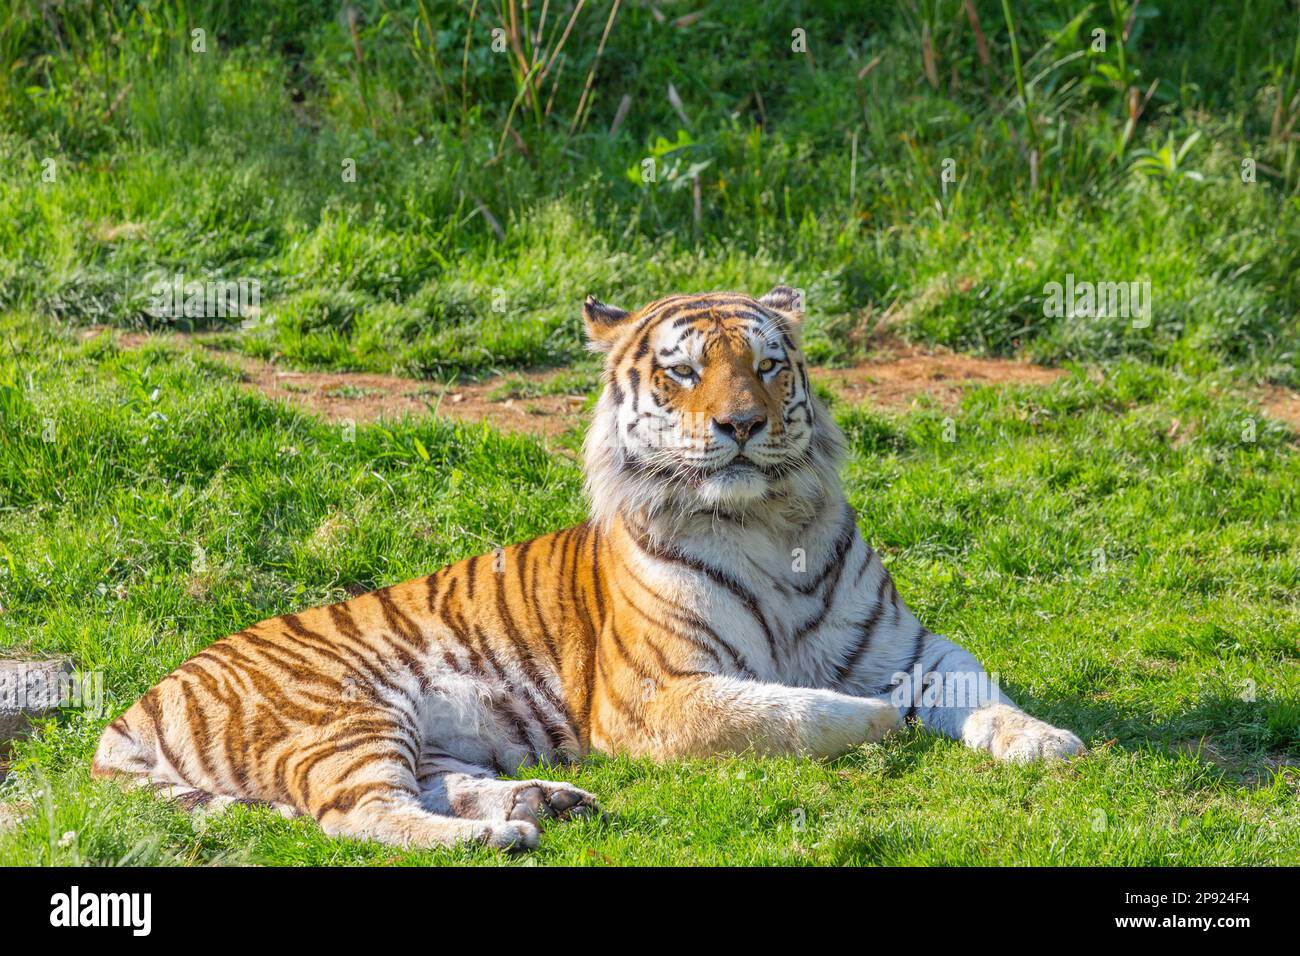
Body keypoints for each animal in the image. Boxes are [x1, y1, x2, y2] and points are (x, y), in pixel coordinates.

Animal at [92, 287, 1085, 850]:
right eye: (683, 372)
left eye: (768, 366)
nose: (742, 424)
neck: (767, 521)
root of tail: (132, 706)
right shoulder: (656, 692)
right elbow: (787, 713)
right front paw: (878, 721)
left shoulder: (909, 644)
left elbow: (977, 688)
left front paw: (1048, 742)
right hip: (338, 716)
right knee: (355, 815)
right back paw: (498, 838)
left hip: (417, 734)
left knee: (435, 783)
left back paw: (549, 802)